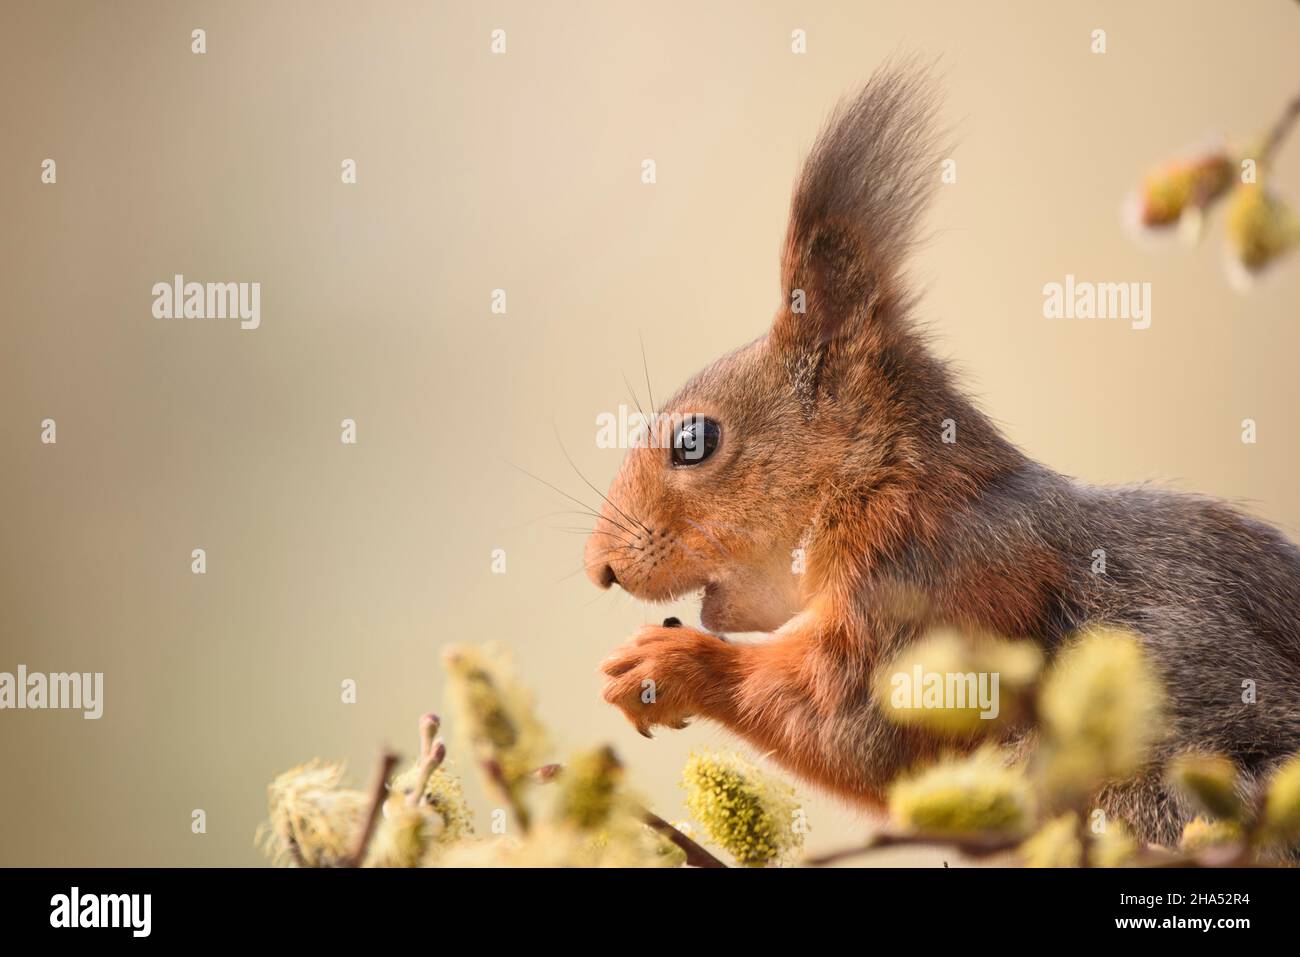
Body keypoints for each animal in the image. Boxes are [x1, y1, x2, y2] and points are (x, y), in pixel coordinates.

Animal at [584, 63, 1300, 850]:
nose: (599, 567)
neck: (891, 487)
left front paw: (670, 664)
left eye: (694, 441)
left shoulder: (940, 591)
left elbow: (853, 729)